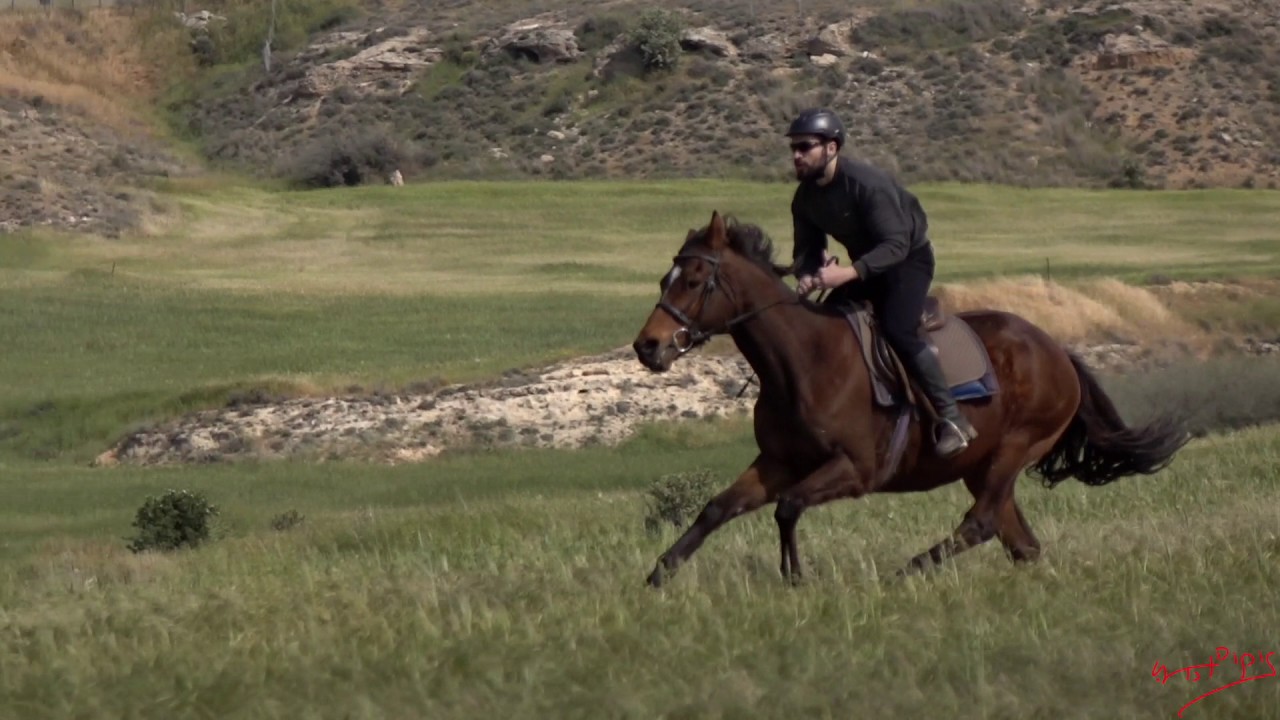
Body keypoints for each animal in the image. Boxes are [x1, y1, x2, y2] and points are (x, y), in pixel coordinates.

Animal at [631, 210, 1190, 588]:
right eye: (664, 279)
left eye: (695, 281)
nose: (648, 346)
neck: (803, 362)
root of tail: (1058, 351)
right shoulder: (777, 461)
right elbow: (717, 508)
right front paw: (659, 574)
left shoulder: (856, 469)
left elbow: (788, 508)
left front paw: (795, 578)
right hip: (982, 464)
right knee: (1018, 540)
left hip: (1016, 447)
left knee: (981, 524)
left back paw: (905, 573)